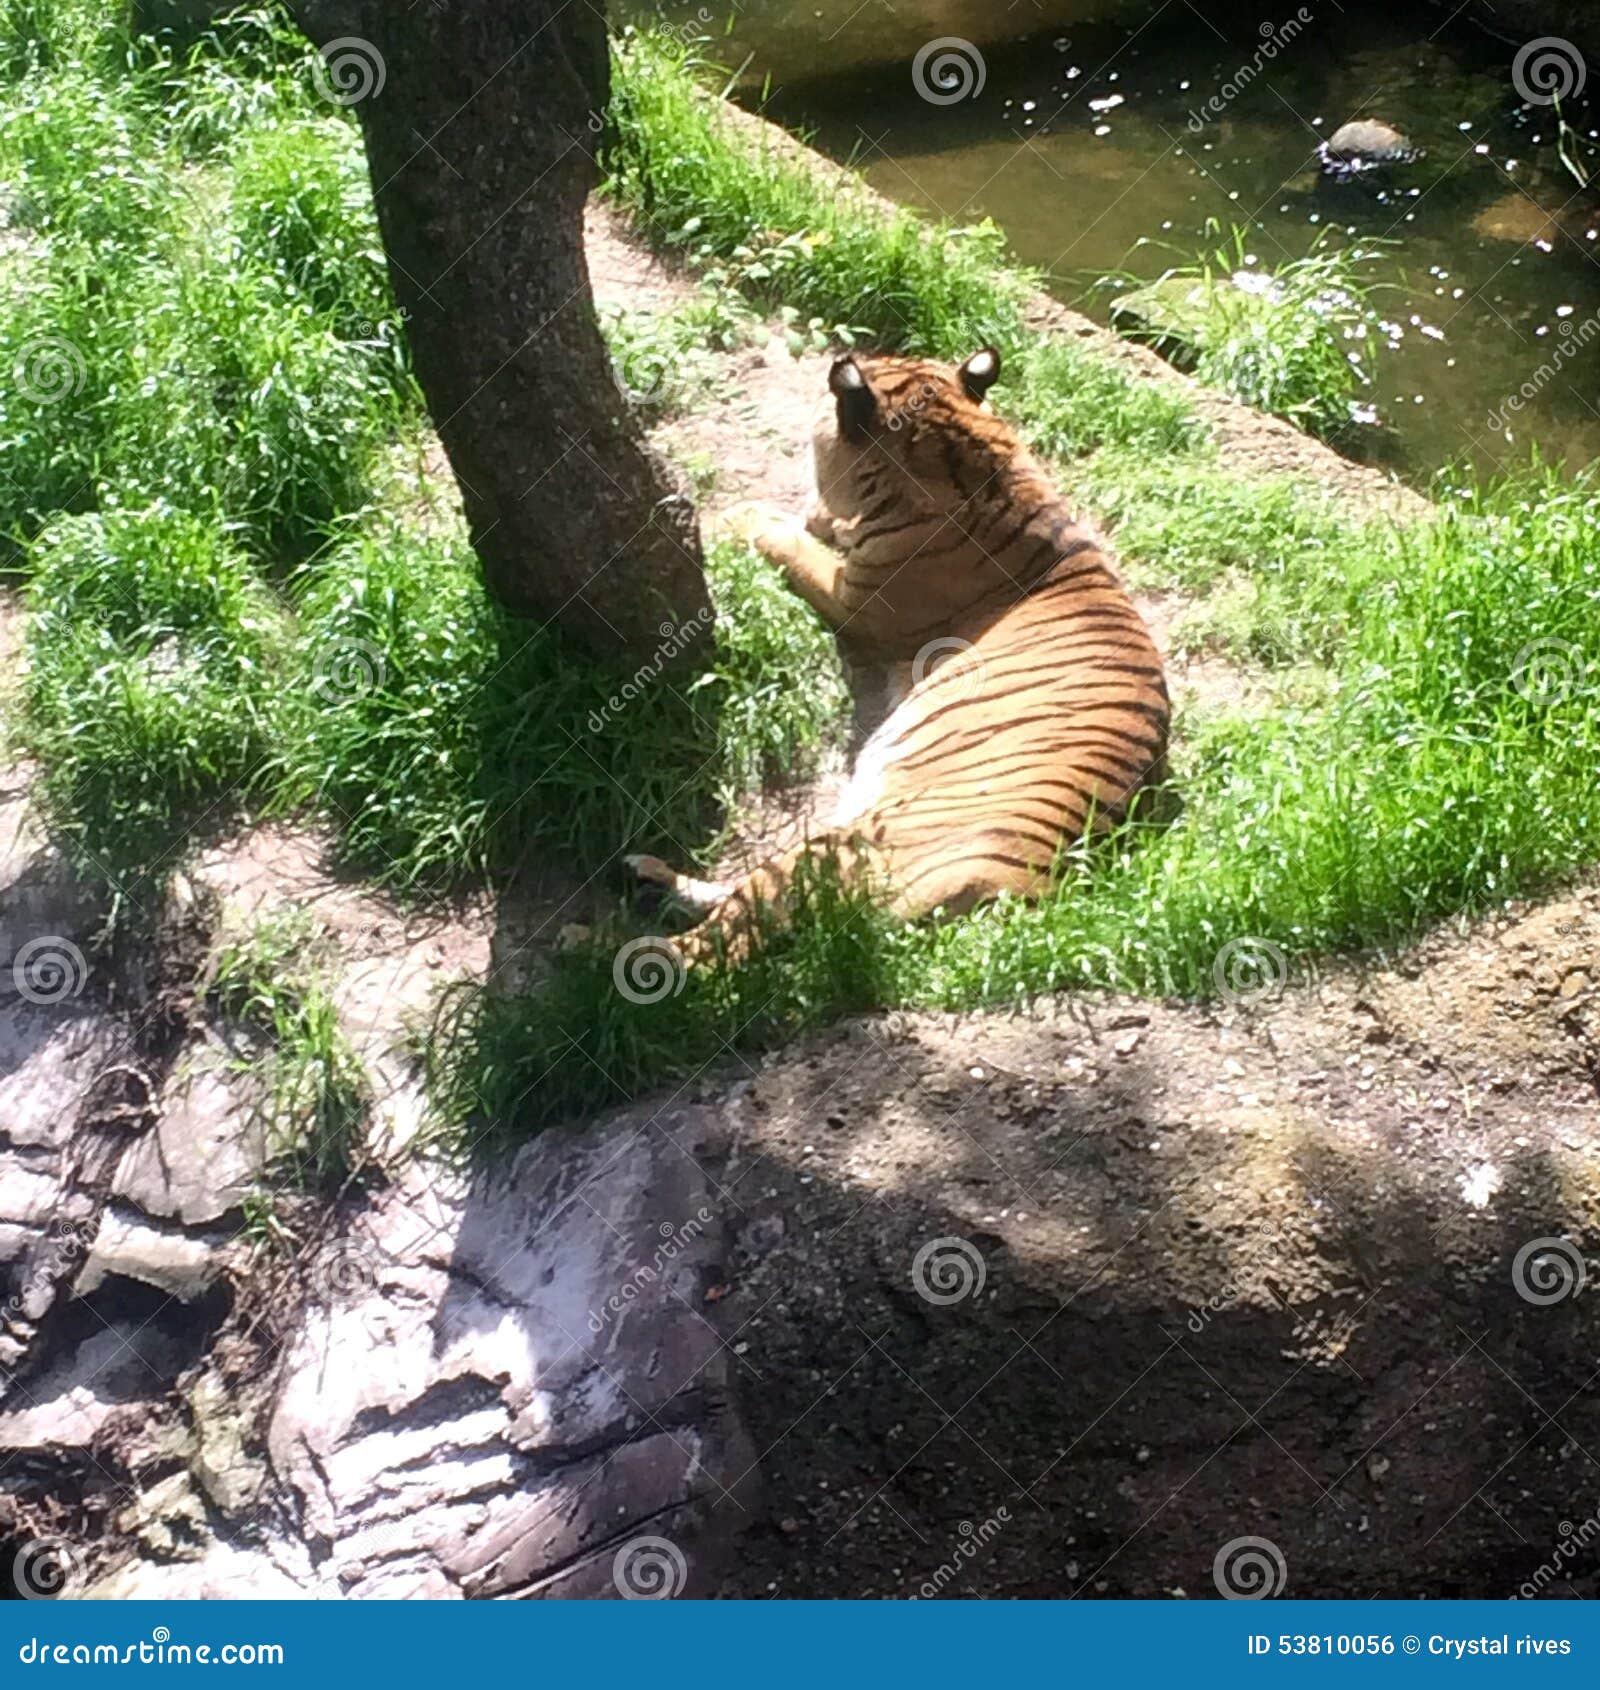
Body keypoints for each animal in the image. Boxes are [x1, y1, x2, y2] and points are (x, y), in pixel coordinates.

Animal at [628, 345, 1170, 963]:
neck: (966, 454)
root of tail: (1018, 887)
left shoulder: (854, 601)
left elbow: (787, 539)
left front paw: (746, 516)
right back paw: (647, 875)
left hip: (840, 848)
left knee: (715, 948)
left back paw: (599, 947)